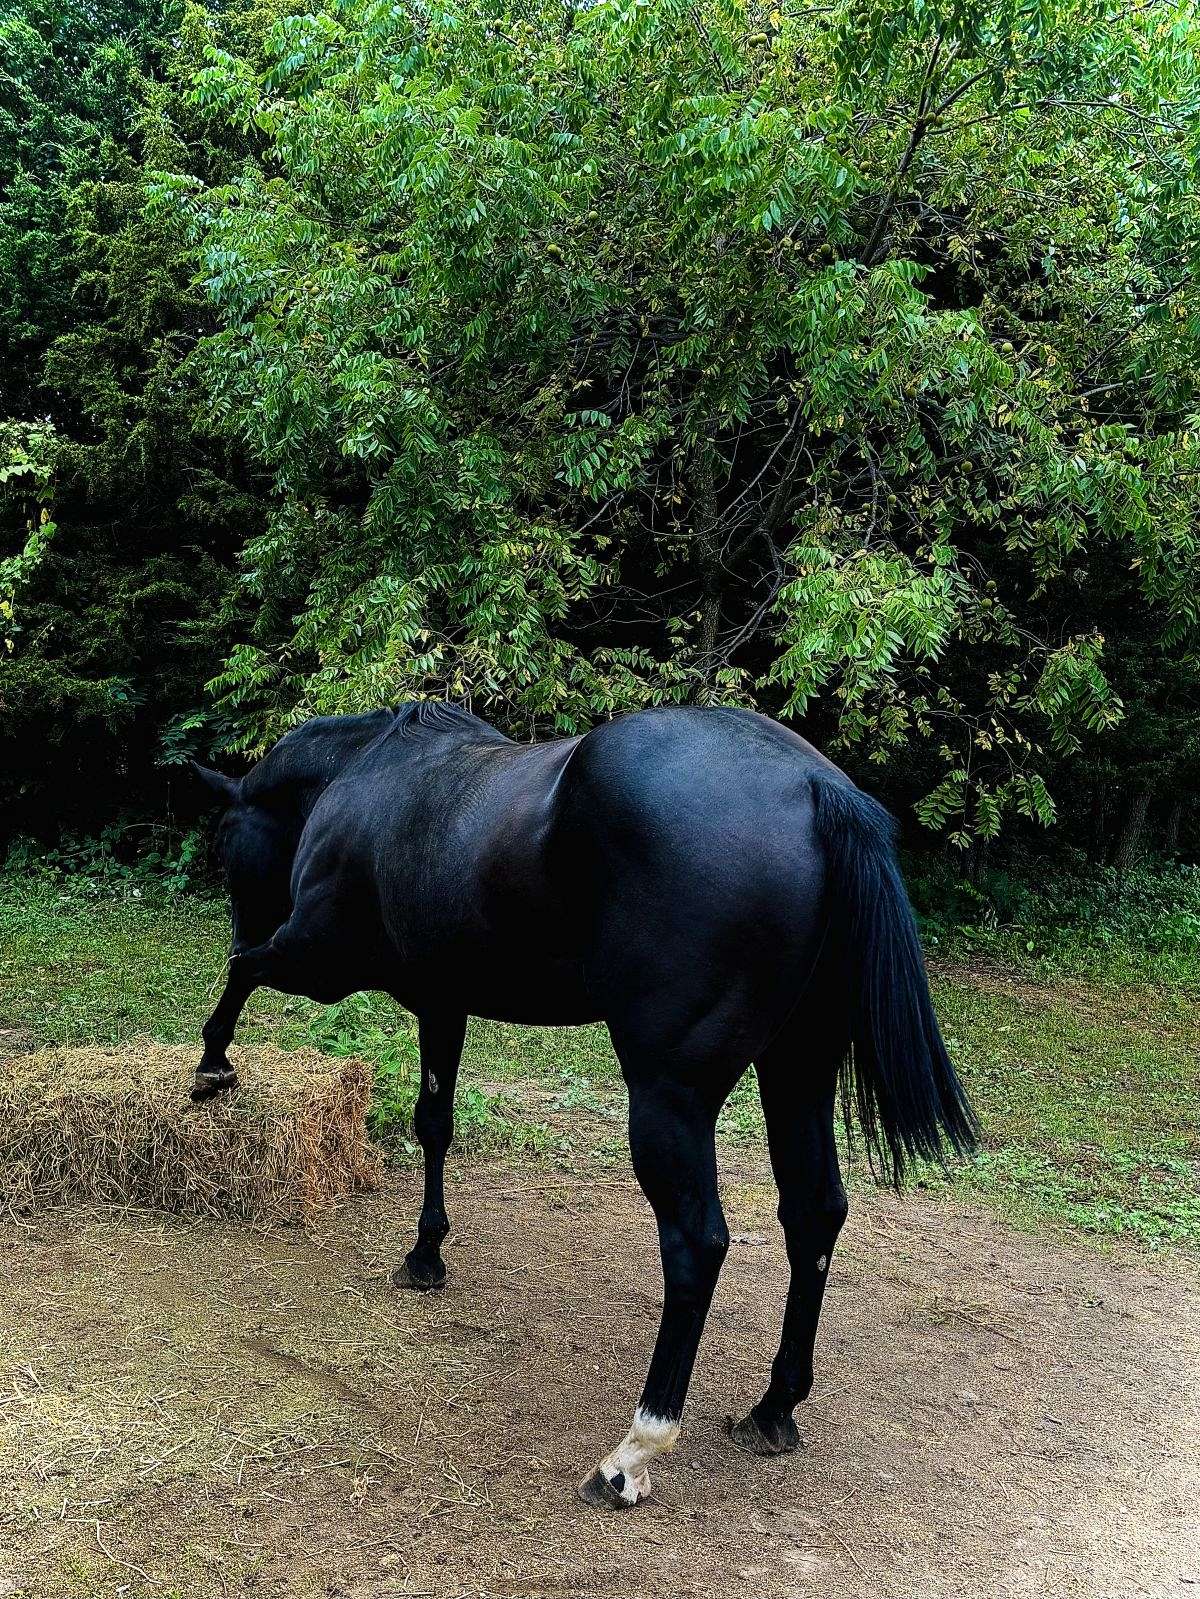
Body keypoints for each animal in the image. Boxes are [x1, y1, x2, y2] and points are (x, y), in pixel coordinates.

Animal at [191, 701, 976, 1508]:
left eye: (224, 842)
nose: (240, 911)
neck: (367, 771)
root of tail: (816, 789)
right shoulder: (443, 1002)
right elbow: (434, 1123)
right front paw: (426, 1252)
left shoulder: (314, 960)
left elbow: (240, 972)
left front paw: (213, 1064)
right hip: (797, 1070)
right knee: (813, 1213)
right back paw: (774, 1406)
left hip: (671, 1096)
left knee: (696, 1244)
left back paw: (634, 1450)